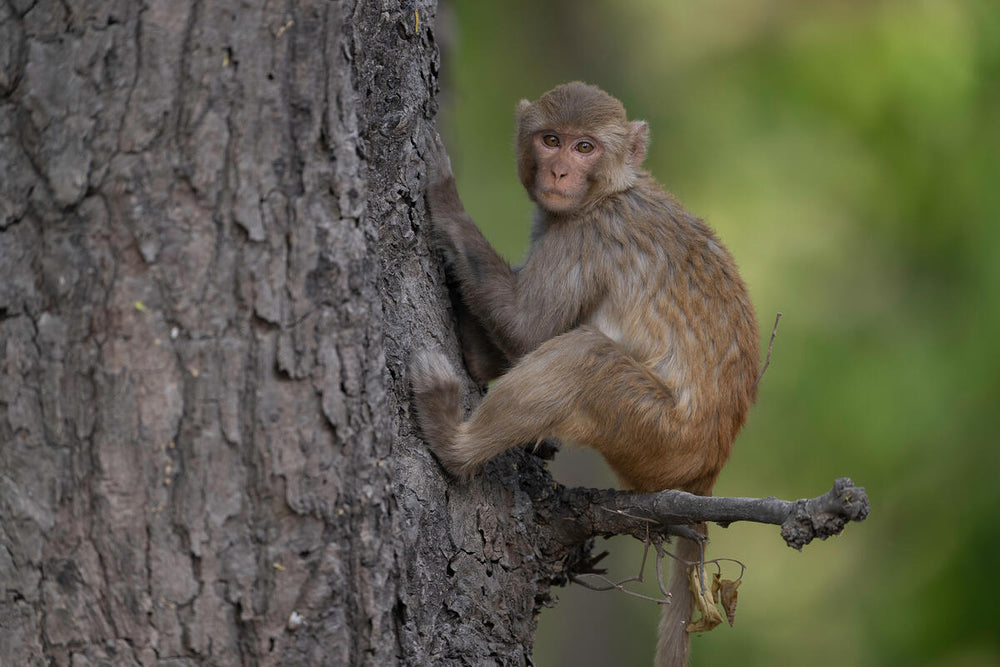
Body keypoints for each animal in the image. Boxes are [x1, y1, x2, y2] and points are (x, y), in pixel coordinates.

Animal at [411, 82, 759, 667]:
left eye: (584, 148)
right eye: (550, 140)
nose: (557, 172)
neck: (610, 192)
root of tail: (709, 468)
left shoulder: (587, 235)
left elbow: (528, 331)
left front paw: (445, 198)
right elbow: (524, 339)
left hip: (657, 438)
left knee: (586, 355)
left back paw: (452, 441)